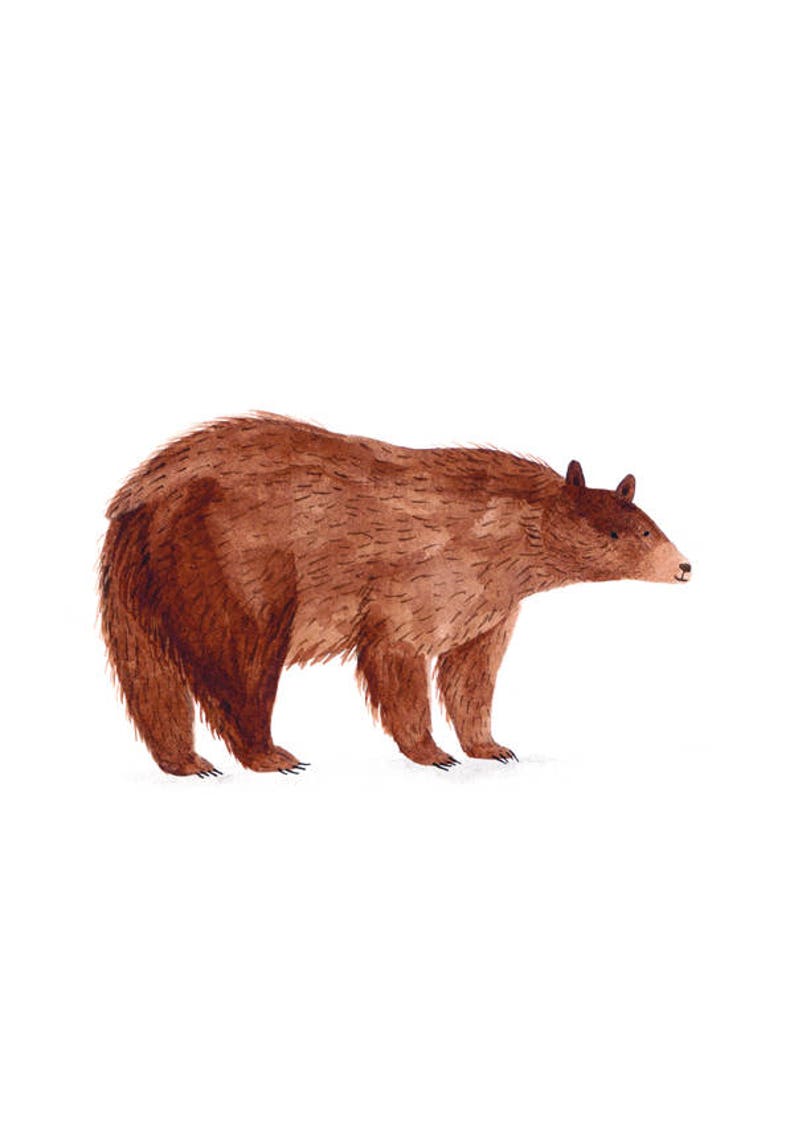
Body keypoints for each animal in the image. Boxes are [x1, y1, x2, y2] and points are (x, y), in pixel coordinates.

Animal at [99, 412, 691, 776]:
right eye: (616, 534)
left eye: (647, 527)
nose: (684, 566)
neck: (504, 534)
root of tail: (140, 492)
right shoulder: (424, 574)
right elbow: (397, 654)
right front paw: (432, 752)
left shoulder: (492, 601)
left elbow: (471, 672)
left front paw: (490, 745)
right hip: (228, 562)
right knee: (240, 665)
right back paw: (270, 754)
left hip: (140, 581)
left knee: (148, 673)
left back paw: (185, 762)